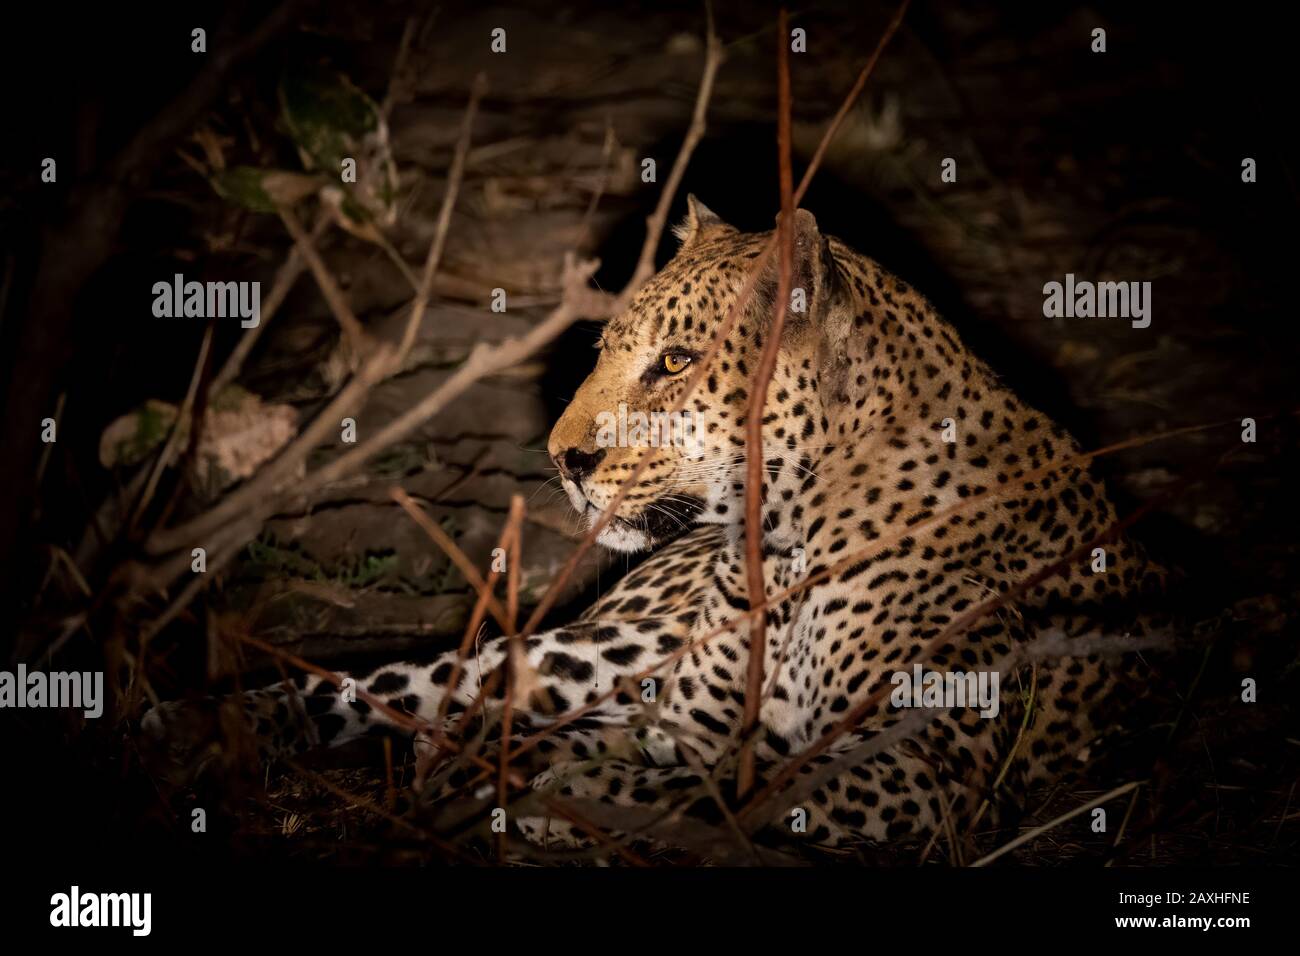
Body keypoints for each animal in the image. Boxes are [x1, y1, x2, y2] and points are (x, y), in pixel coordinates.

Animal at [143, 196, 1170, 854]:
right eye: (605, 350)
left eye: (675, 361)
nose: (562, 457)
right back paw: (204, 726)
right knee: (412, 683)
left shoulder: (924, 766)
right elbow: (698, 771)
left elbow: (737, 791)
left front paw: (568, 795)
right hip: (603, 645)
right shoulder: (684, 720)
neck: (780, 543)